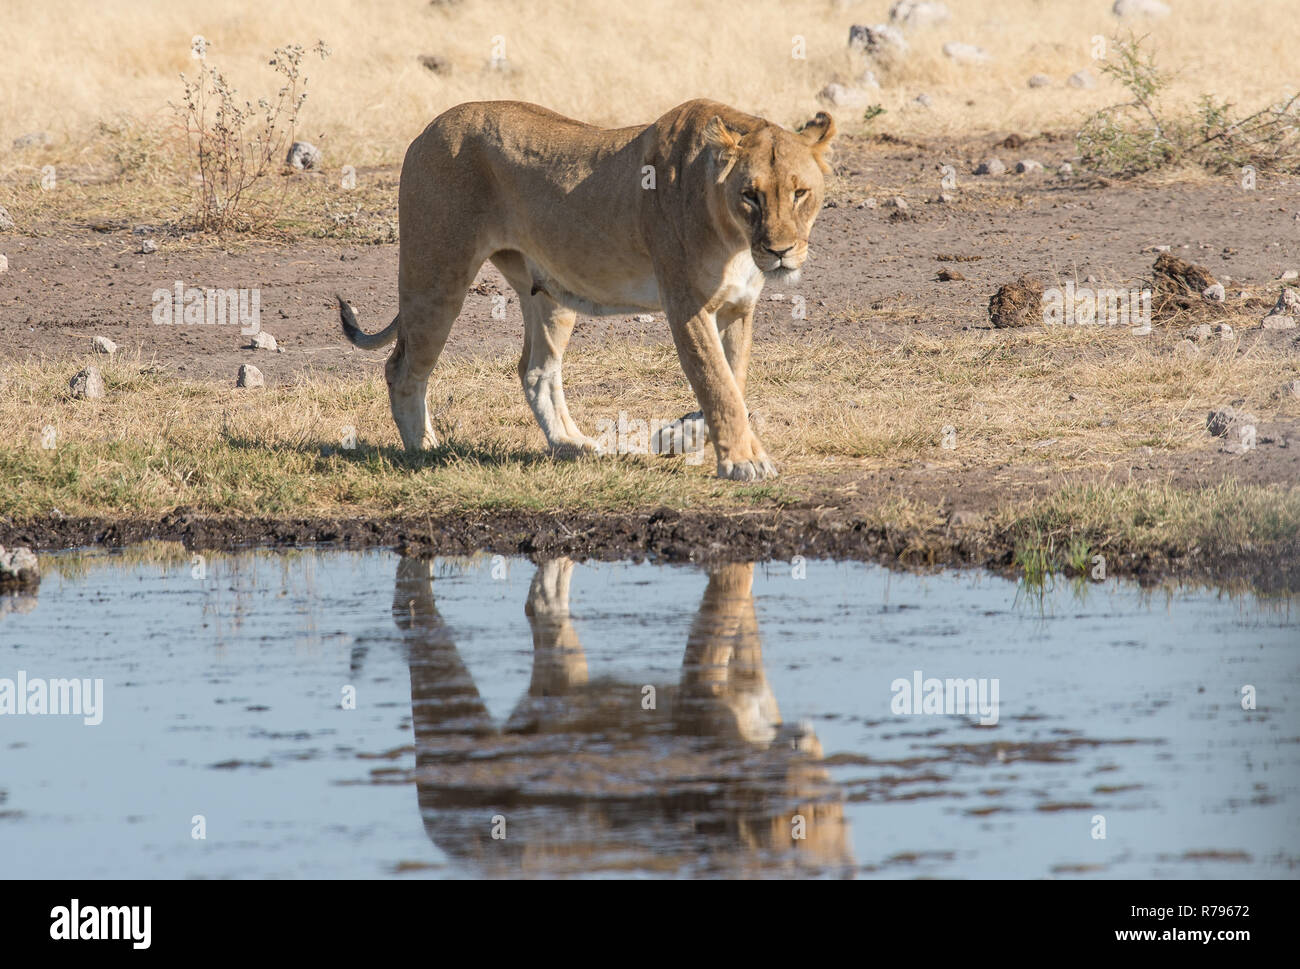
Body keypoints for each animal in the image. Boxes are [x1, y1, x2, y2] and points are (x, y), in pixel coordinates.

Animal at [337, 99, 835, 480]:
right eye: (751, 195)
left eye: (800, 193)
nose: (780, 251)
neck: (736, 238)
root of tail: (427, 129)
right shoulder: (687, 305)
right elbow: (718, 383)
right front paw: (743, 464)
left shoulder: (738, 307)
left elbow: (735, 379)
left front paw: (680, 435)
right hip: (437, 272)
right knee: (402, 367)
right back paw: (424, 449)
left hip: (548, 292)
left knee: (535, 370)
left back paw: (571, 445)